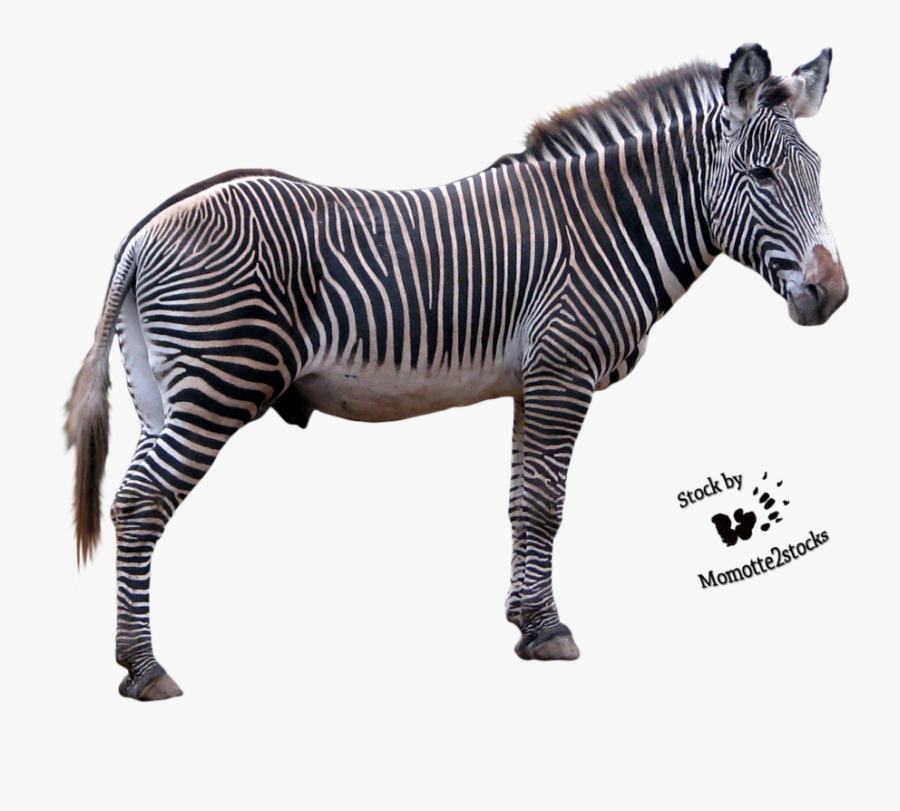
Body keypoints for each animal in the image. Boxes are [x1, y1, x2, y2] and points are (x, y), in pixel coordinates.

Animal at [66, 44, 847, 700]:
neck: (609, 227)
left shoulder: (534, 381)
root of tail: (145, 230)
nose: (833, 294)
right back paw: (145, 669)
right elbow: (547, 504)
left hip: (159, 396)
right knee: (140, 504)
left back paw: (132, 659)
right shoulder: (564, 371)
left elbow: (521, 503)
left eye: (816, 175)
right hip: (218, 385)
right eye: (762, 175)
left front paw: (525, 621)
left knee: (132, 500)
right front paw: (551, 631)